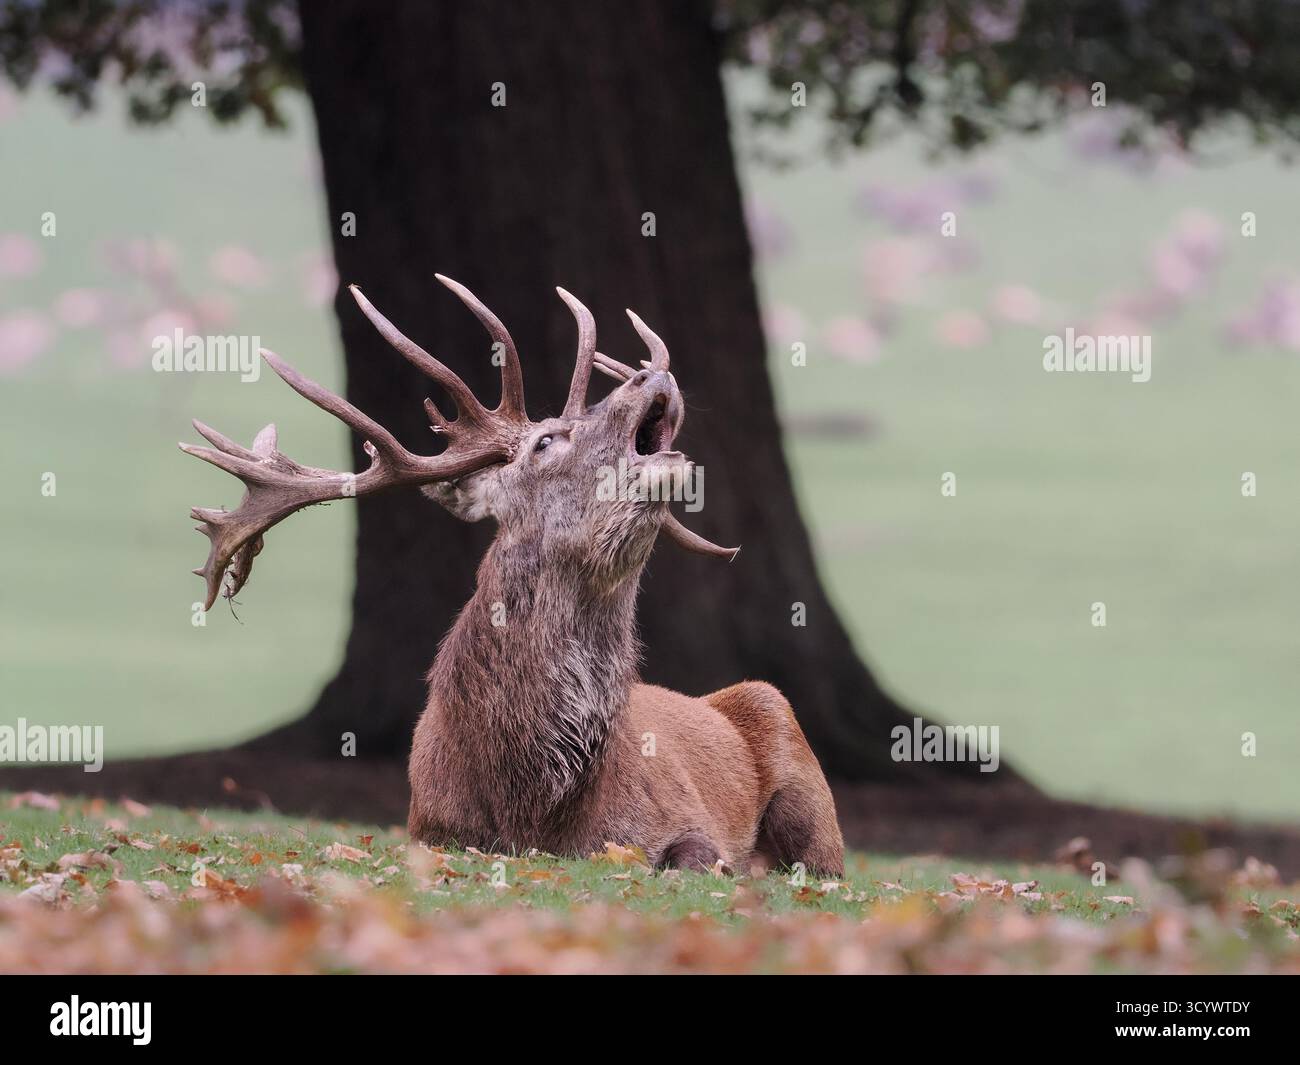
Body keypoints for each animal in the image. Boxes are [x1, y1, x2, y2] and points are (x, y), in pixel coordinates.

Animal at [181, 276, 844, 875]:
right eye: (545, 441)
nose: (649, 375)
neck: (535, 809)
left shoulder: (683, 819)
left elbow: (698, 859)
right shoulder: (430, 829)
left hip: (792, 748)